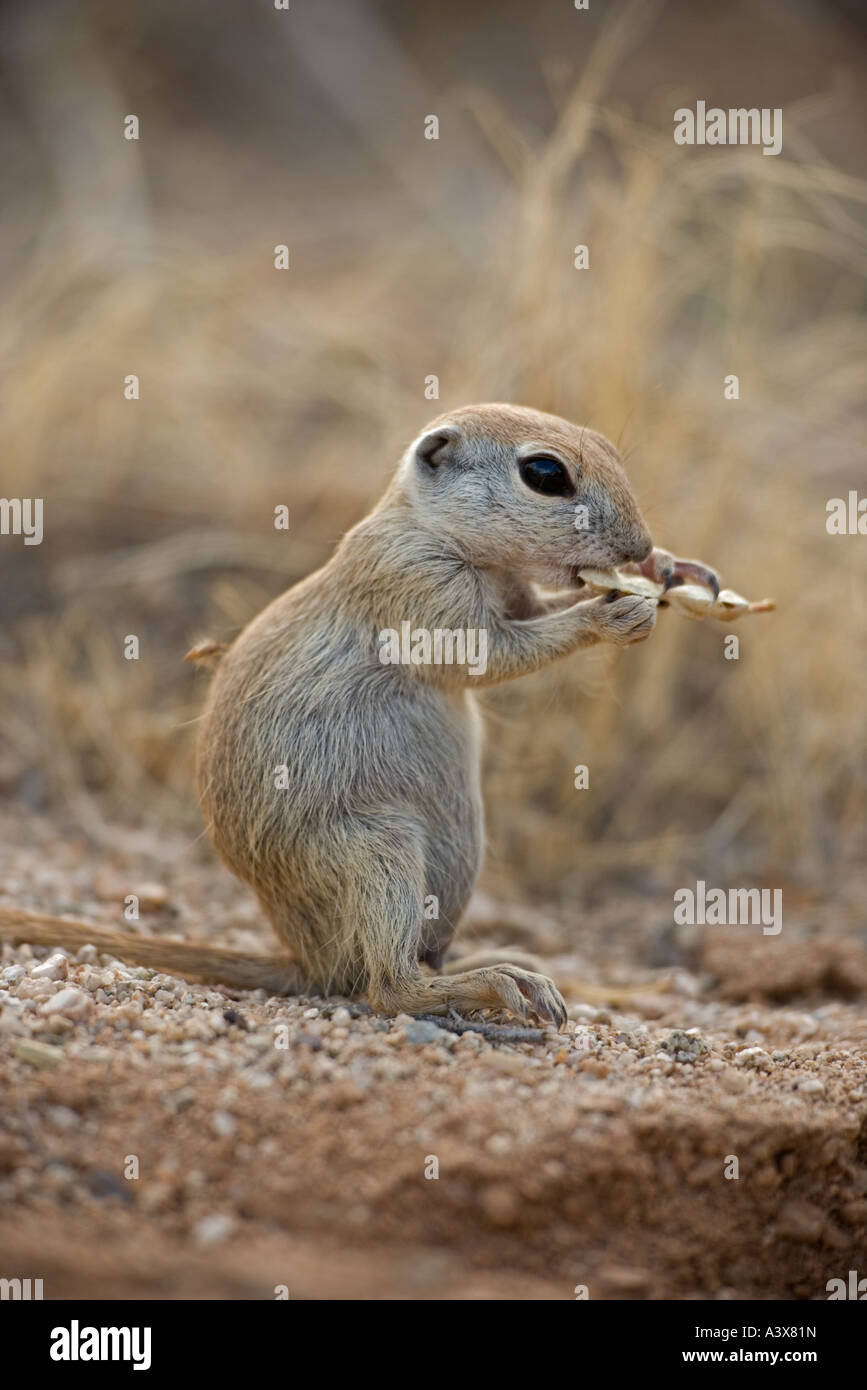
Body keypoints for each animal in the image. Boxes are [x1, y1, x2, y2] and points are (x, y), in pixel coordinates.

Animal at [0, 405, 718, 1026]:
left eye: (610, 448)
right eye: (545, 473)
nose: (638, 544)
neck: (431, 529)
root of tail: (306, 961)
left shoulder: (511, 590)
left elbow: (532, 616)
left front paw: (673, 571)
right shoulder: (420, 589)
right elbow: (494, 654)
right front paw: (612, 613)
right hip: (377, 852)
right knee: (387, 987)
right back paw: (495, 983)